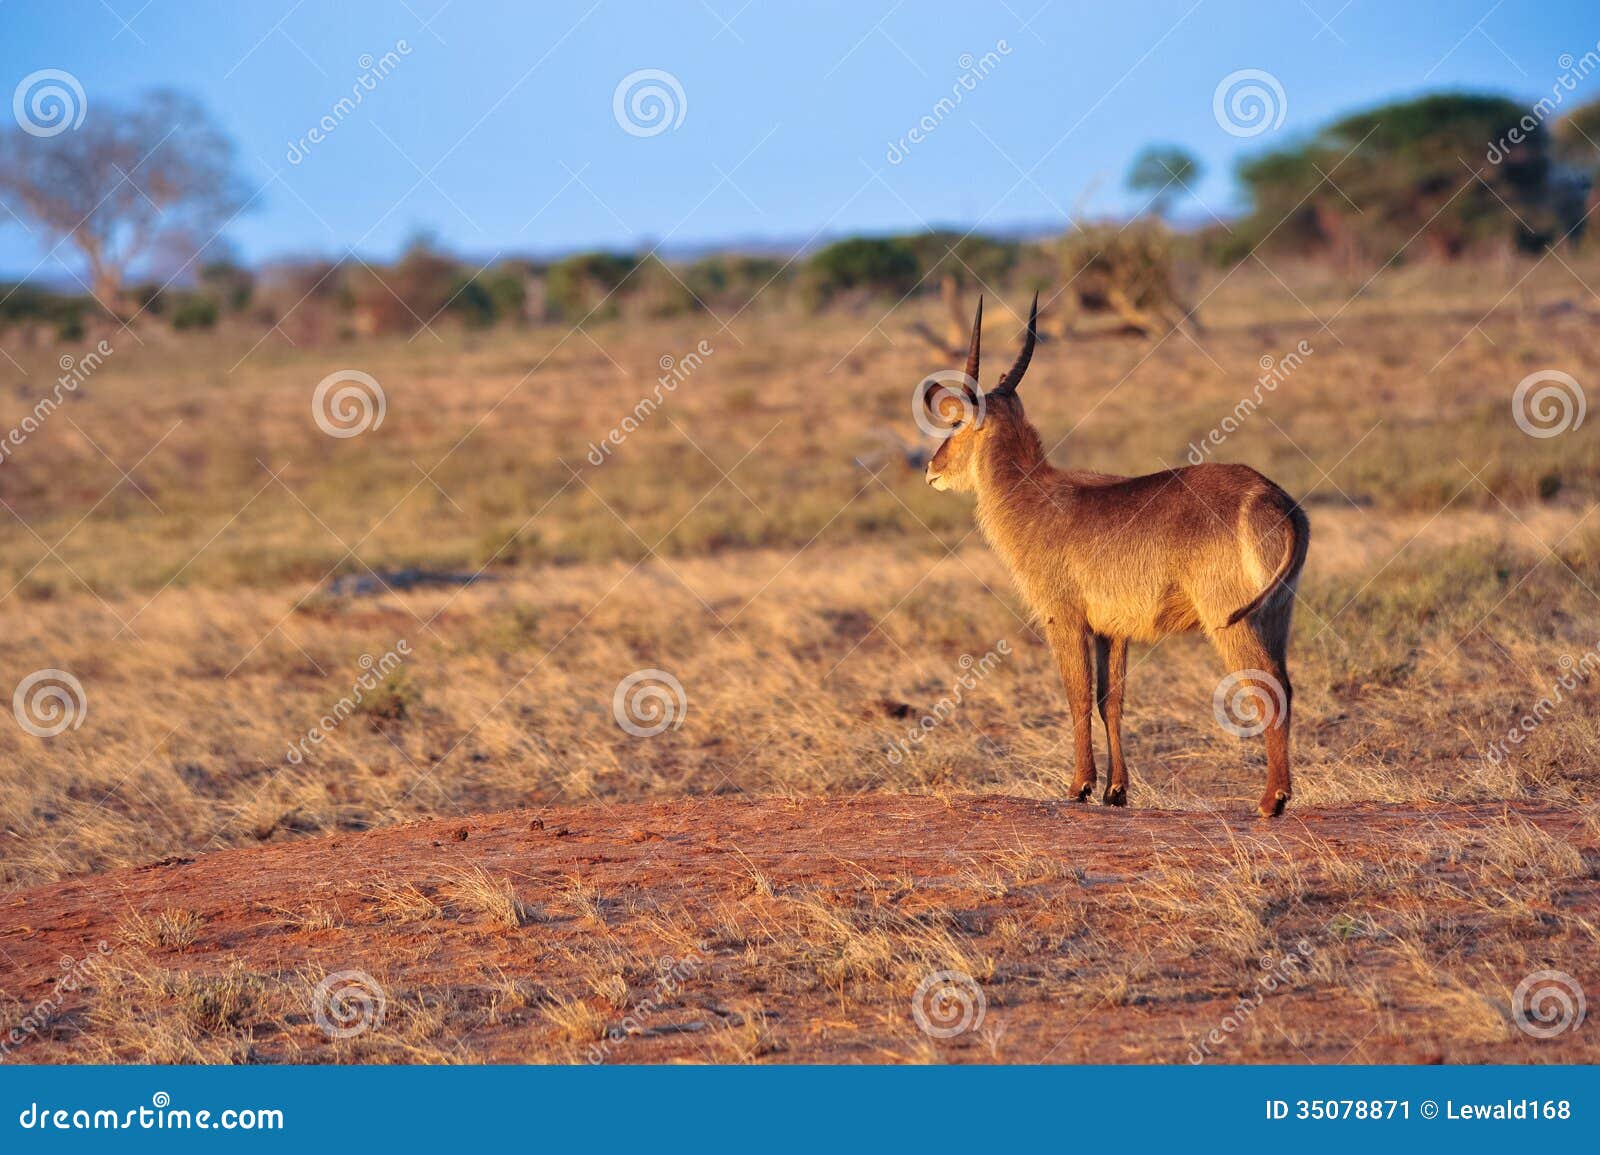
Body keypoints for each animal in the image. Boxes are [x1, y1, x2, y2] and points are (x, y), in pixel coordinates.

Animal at [919, 296, 1309, 817]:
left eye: (957, 422)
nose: (931, 469)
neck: (1035, 496)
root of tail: (1275, 498)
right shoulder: (1113, 630)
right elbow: (1112, 701)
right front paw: (1115, 791)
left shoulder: (1063, 619)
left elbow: (1077, 695)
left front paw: (1079, 786)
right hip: (1275, 616)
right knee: (1285, 685)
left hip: (1233, 622)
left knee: (1268, 688)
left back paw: (1271, 800)